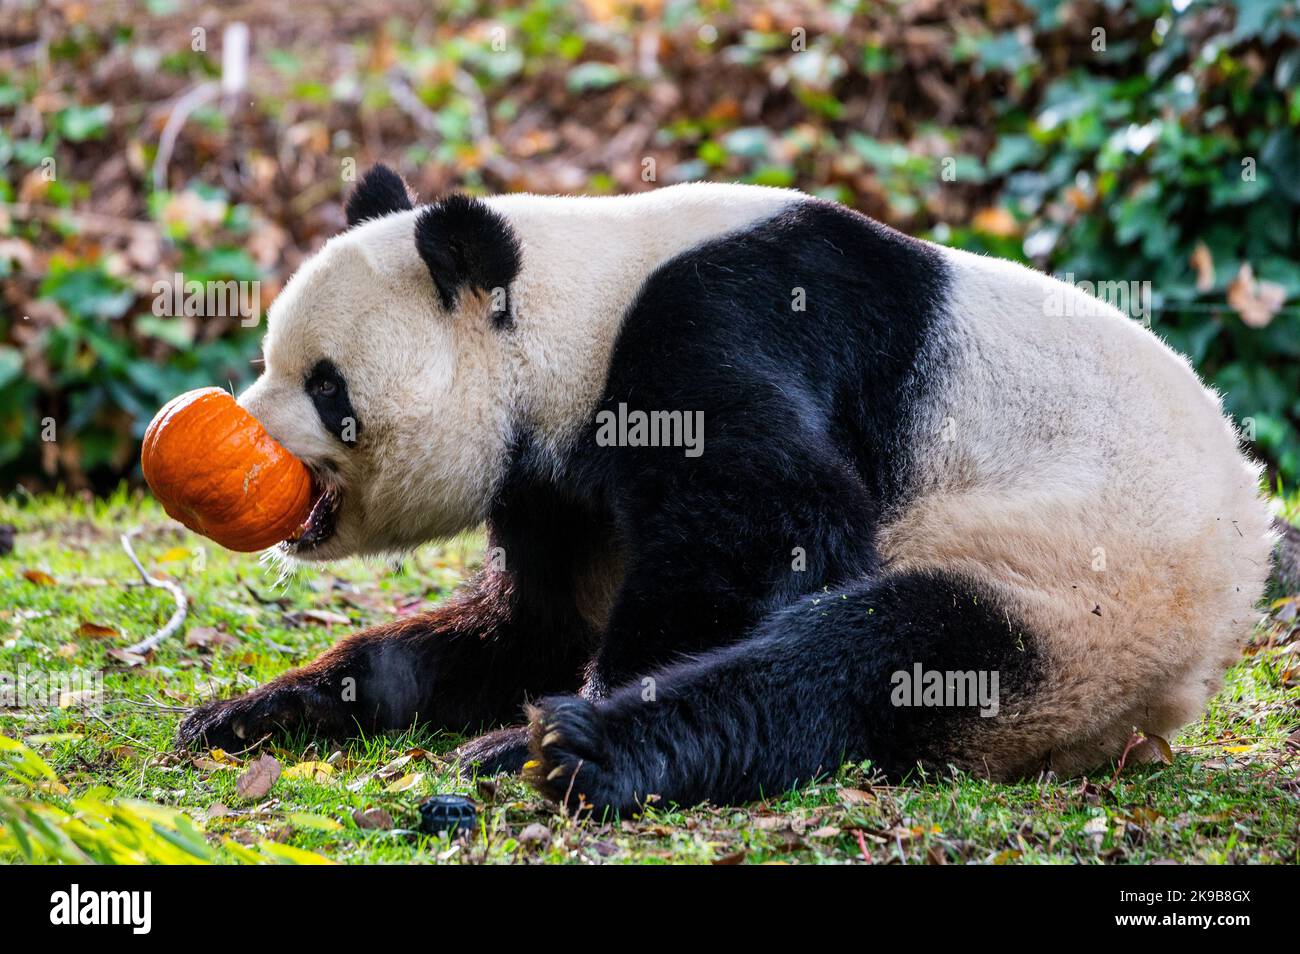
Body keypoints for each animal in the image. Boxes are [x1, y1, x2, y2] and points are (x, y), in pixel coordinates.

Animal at [179, 164, 1274, 814]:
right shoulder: (556, 487)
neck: (573, 309)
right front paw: (256, 711)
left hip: (1080, 590)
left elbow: (779, 524)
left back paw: (579, 751)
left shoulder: (720, 319)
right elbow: (531, 627)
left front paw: (570, 714)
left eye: (327, 386)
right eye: (272, 360)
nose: (248, 440)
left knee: (865, 660)